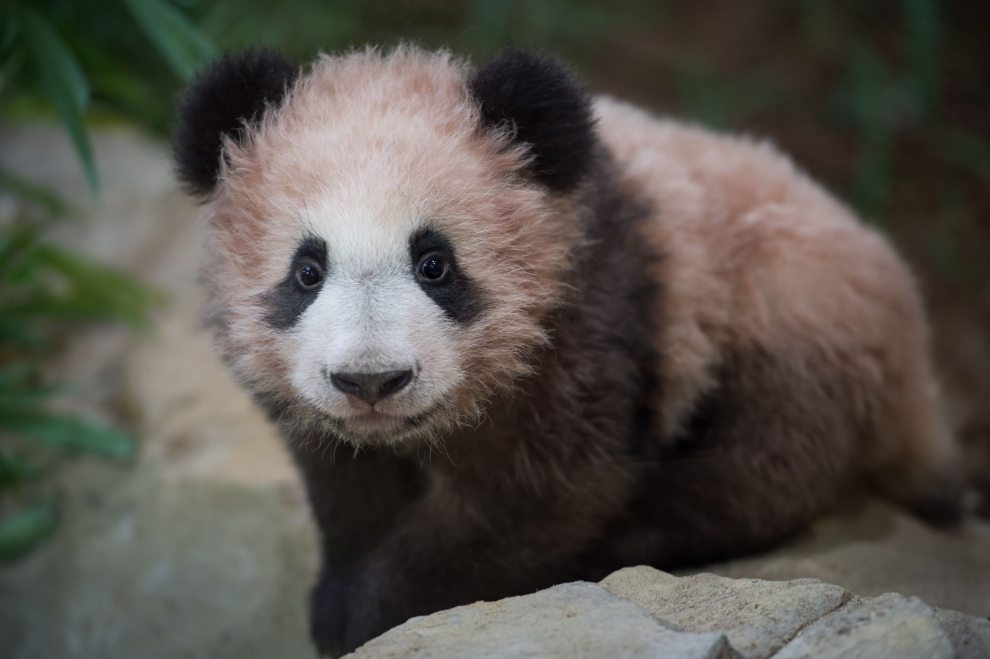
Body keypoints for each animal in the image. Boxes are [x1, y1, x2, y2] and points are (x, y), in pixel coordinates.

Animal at [173, 46, 962, 655]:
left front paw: (373, 608)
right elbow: (346, 482)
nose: (372, 380)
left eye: (435, 264)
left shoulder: (591, 313)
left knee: (760, 465)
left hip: (783, 318)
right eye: (307, 270)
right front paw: (336, 595)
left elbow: (545, 494)